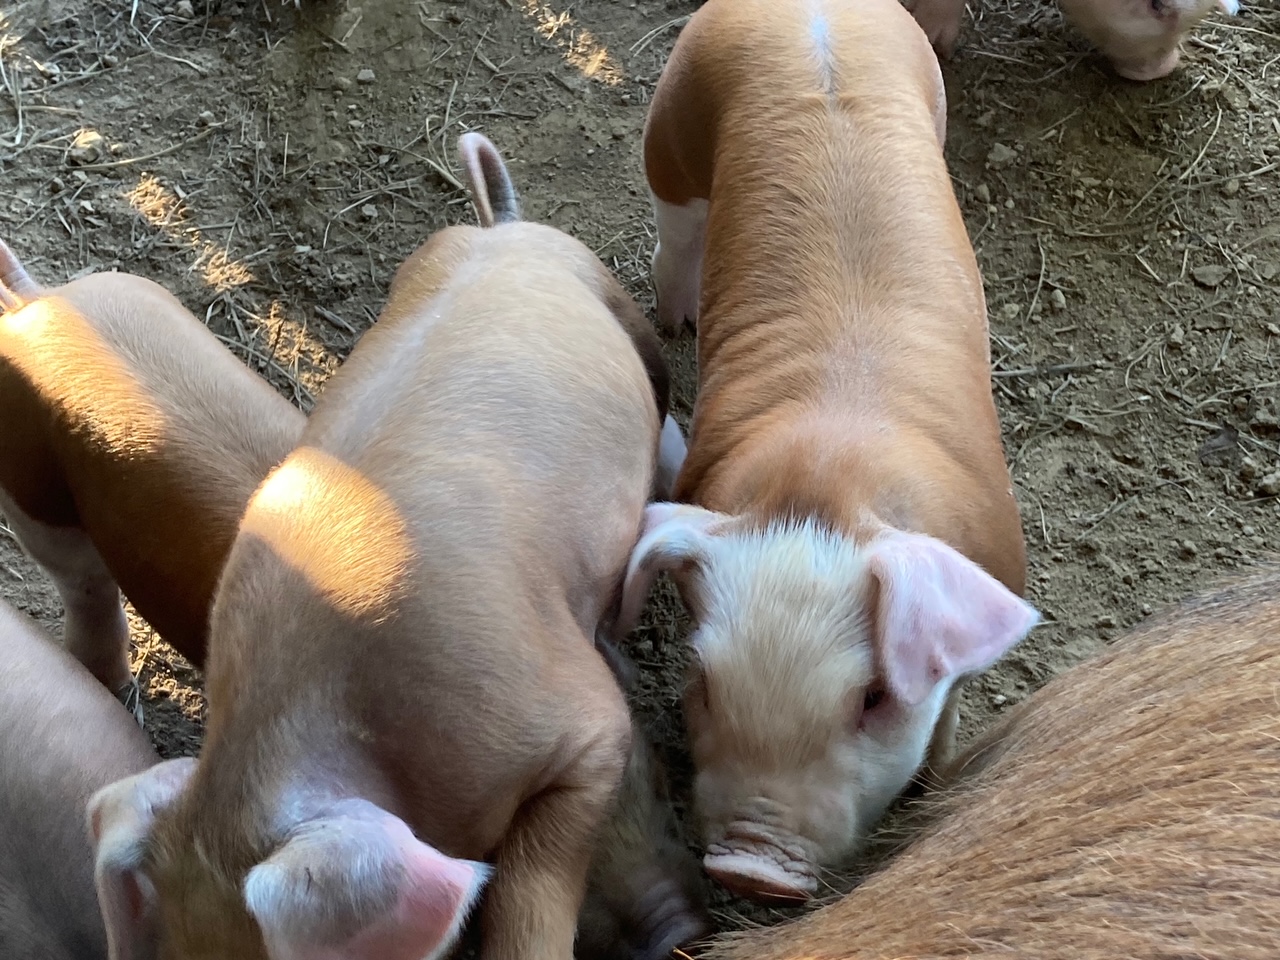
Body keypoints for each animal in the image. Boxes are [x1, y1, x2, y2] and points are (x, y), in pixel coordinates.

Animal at [617, 0, 1039, 903]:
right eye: (701, 683)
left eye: (874, 698)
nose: (752, 868)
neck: (827, 479)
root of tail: (805, 8)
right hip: (673, 122)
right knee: (675, 229)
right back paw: (676, 320)